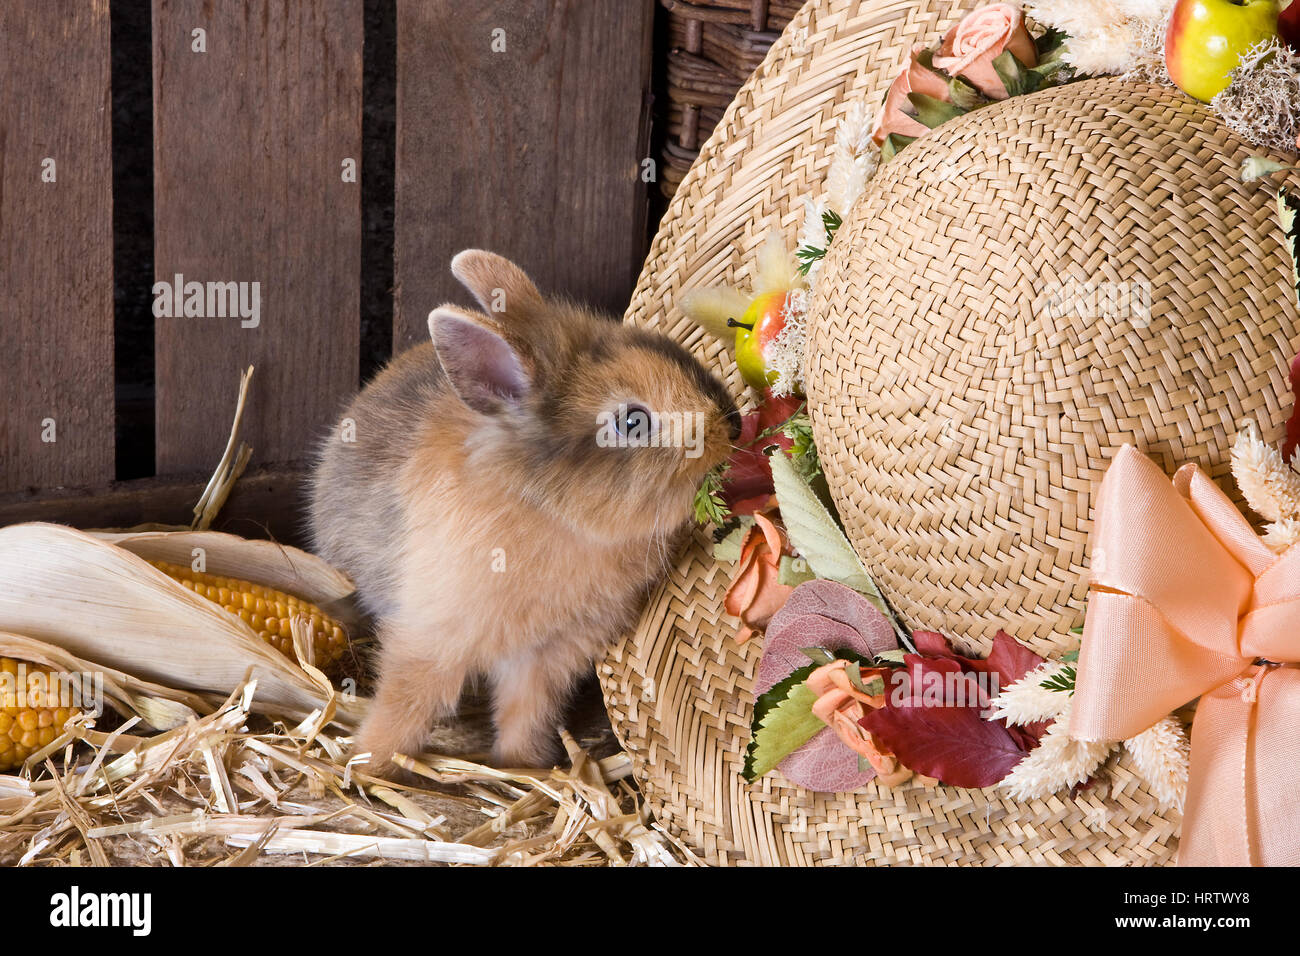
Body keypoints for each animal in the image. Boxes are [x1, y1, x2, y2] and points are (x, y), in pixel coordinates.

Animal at [308, 250, 740, 775]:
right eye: (632, 421)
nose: (733, 427)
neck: (551, 513)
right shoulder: (430, 637)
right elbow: (405, 703)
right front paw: (369, 764)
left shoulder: (547, 657)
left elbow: (526, 712)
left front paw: (523, 763)